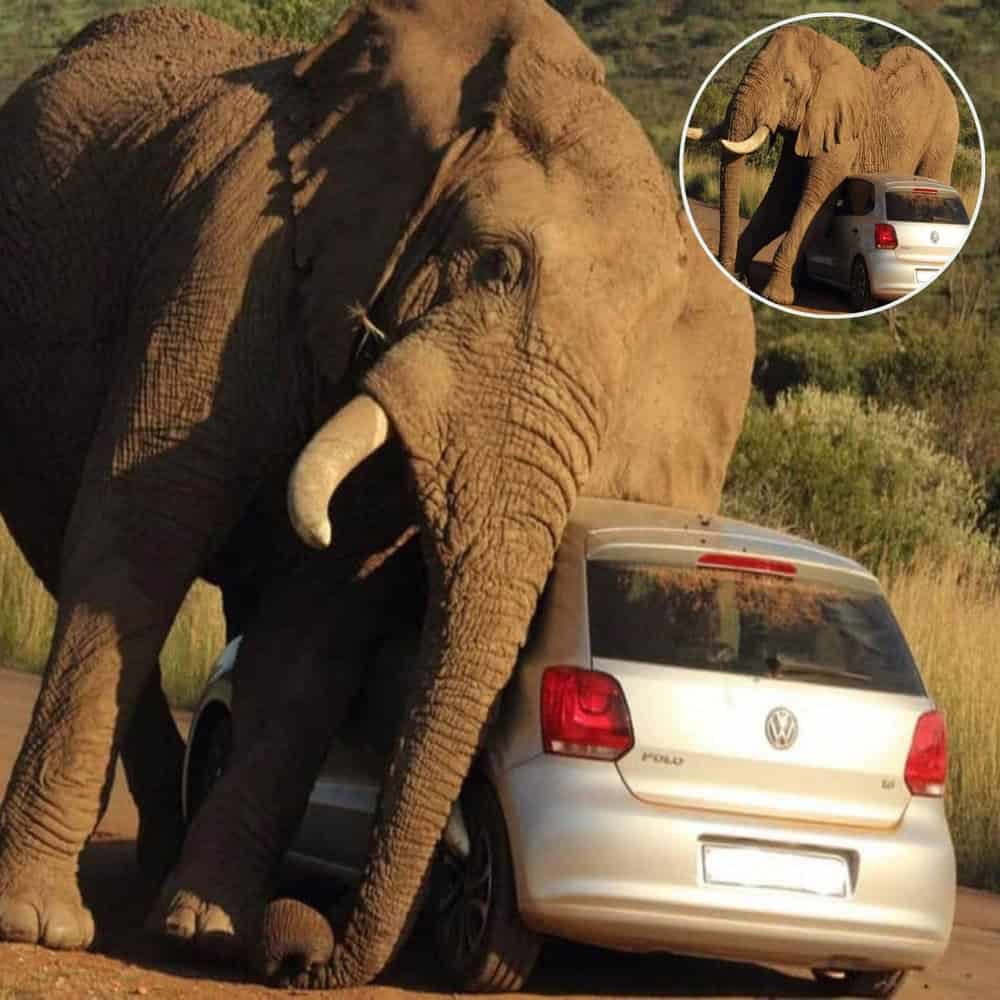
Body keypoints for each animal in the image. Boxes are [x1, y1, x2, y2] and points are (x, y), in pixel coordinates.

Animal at [0, 0, 754, 988]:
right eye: (495, 265)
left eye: (636, 358)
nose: (301, 953)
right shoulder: (233, 249)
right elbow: (147, 523)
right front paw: (37, 923)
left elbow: (321, 615)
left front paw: (210, 931)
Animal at [686, 23, 960, 306]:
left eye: (787, 80)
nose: (731, 272)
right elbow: (783, 200)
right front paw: (739, 280)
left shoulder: (842, 137)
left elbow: (814, 202)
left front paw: (776, 296)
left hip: (943, 132)